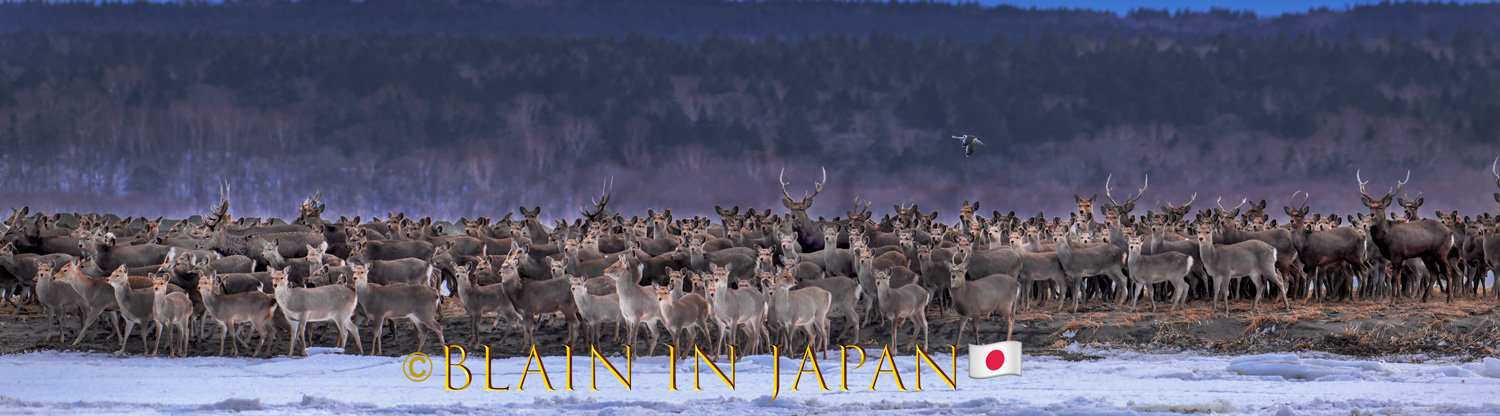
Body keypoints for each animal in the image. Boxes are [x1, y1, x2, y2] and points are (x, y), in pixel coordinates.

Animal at [1357, 170, 1456, 303]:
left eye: (1380, 207)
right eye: (1370, 207)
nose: (1372, 215)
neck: (1386, 238)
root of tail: (1450, 233)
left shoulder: (1397, 254)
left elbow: (1394, 279)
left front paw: (1393, 301)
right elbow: (1397, 278)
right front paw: (1397, 299)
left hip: (1441, 251)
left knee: (1447, 271)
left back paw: (1449, 298)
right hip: (1427, 255)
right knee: (1434, 273)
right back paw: (1423, 298)